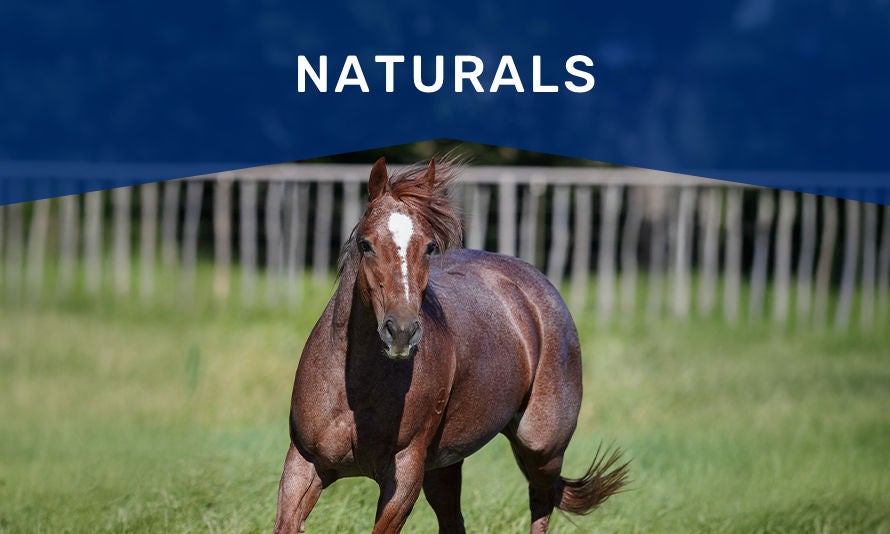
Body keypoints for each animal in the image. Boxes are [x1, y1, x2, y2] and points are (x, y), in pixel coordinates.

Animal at [274, 157, 628, 533]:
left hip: (541, 447)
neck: (354, 391)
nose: (401, 332)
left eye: (429, 247)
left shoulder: (404, 477)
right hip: (445, 464)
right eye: (366, 244)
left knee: (541, 502)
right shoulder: (303, 464)